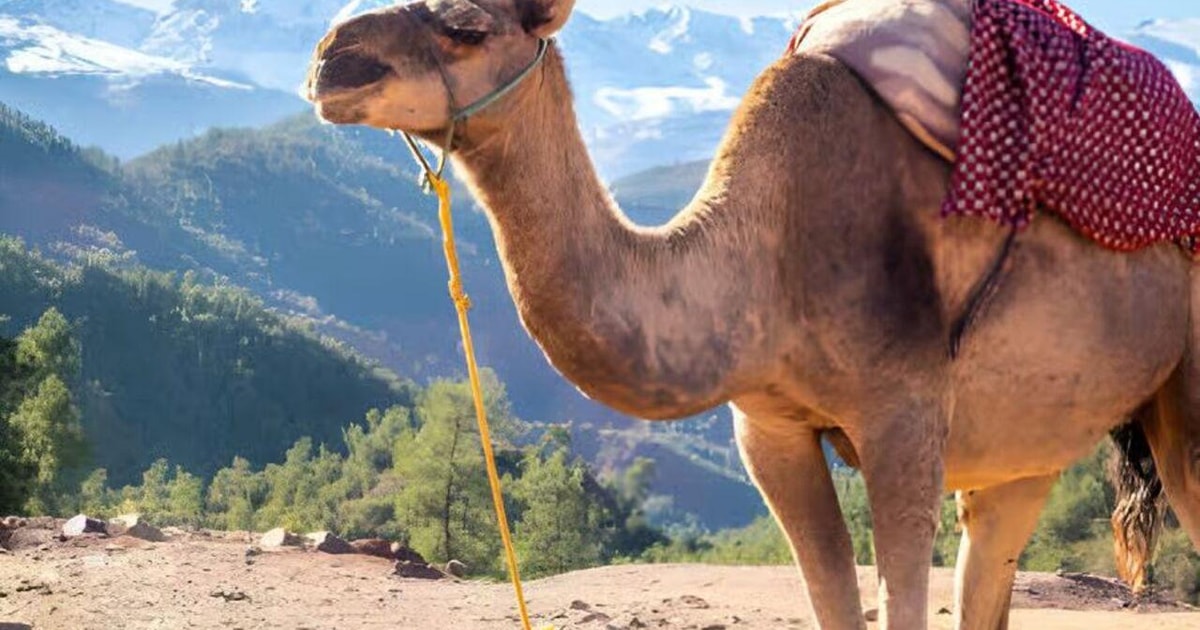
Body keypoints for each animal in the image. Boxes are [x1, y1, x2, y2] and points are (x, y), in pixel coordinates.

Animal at [304, 1, 1200, 628]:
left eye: (465, 27)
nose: (330, 58)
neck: (764, 264)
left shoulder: (905, 413)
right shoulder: (767, 427)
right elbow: (834, 601)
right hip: (1028, 439)